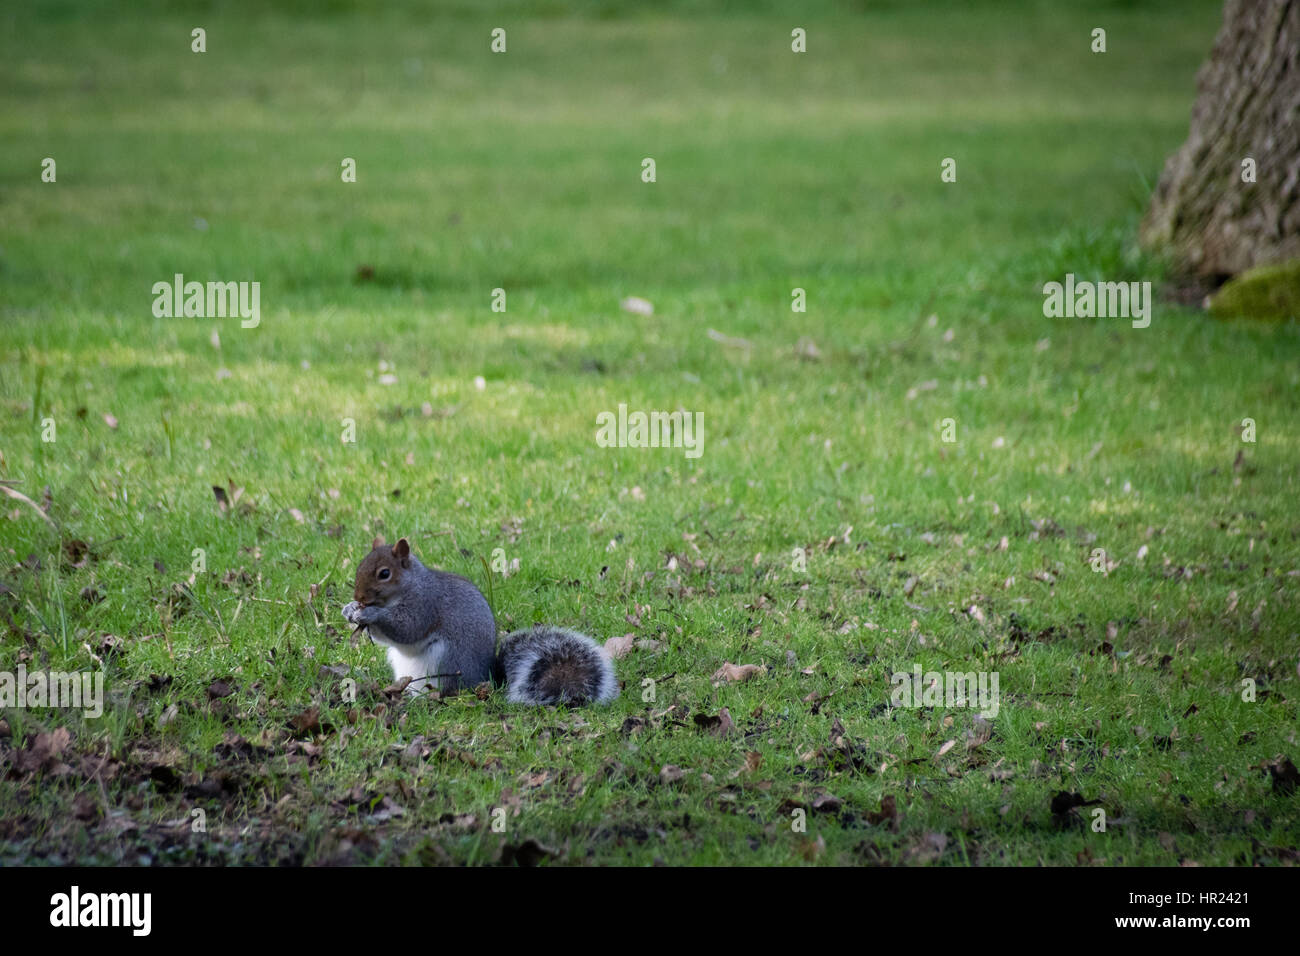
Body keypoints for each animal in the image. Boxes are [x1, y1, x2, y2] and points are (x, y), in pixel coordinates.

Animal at [341, 536, 618, 706]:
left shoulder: (425, 604)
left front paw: (370, 614)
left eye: (385, 573)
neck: (408, 587)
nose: (358, 597)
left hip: (447, 662)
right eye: (359, 566)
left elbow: (407, 628)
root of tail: (488, 678)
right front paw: (350, 609)